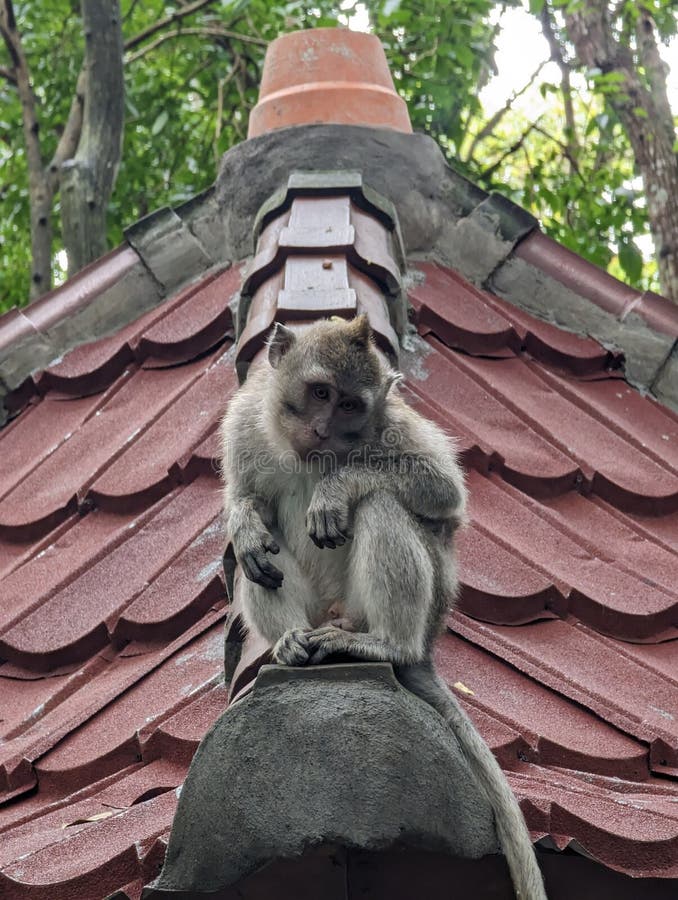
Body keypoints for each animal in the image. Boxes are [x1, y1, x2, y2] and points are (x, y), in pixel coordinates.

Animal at [219, 315, 547, 900]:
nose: (324, 429)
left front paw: (335, 487)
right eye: (320, 393)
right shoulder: (243, 424)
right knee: (261, 557)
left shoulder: (393, 427)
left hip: (415, 606)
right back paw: (291, 640)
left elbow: (439, 489)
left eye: (351, 405)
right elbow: (244, 496)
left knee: (382, 503)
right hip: (319, 609)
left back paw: (383, 643)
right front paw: (244, 521)